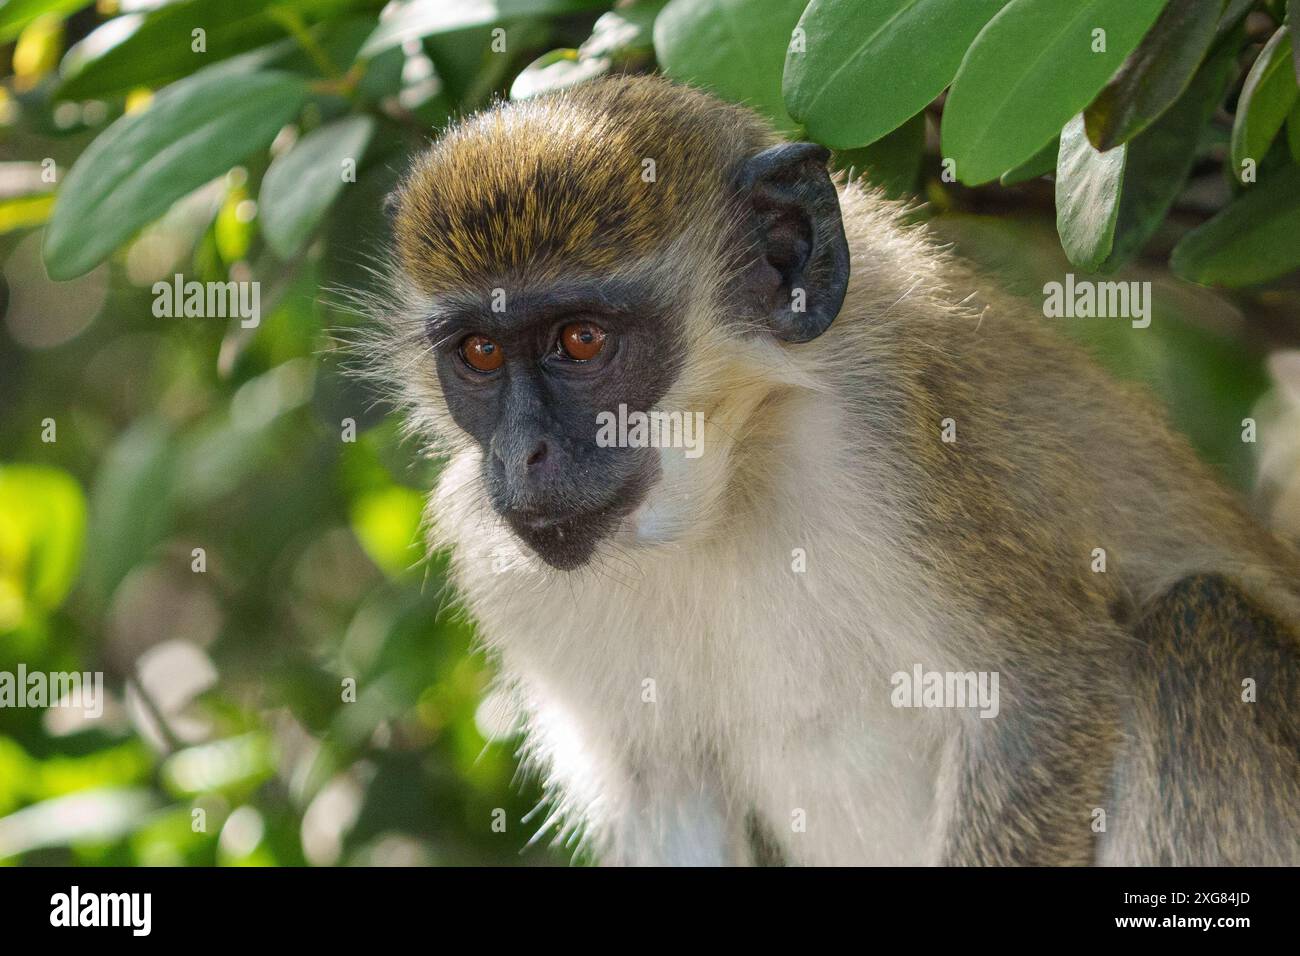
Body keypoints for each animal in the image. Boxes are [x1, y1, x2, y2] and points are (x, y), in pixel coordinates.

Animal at [362, 74, 1300, 866]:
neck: (729, 481)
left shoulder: (897, 446)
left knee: (1197, 623)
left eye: (582, 340)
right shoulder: (502, 567)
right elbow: (671, 804)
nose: (523, 453)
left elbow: (1041, 701)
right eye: (480, 353)